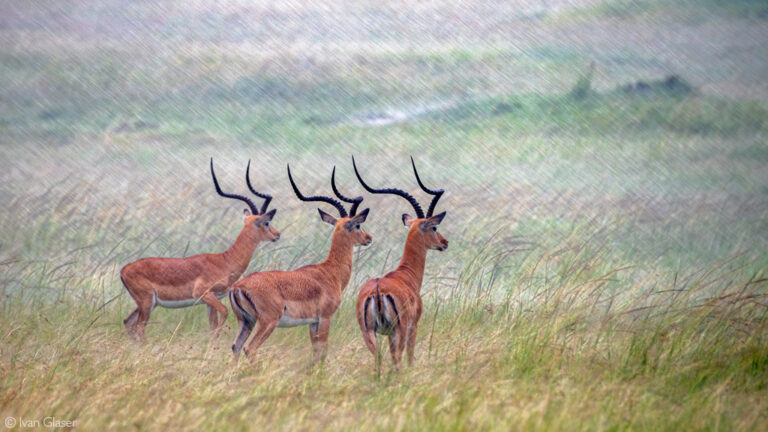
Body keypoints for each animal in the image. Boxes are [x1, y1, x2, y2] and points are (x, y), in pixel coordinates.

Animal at [120, 159, 280, 341]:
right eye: (267, 222)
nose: (277, 235)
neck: (224, 260)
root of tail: (124, 270)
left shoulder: (210, 301)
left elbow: (212, 326)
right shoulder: (204, 294)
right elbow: (224, 314)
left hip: (148, 304)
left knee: (128, 322)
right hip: (147, 303)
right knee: (139, 327)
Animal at [229, 164, 372, 363]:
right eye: (358, 225)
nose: (368, 238)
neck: (330, 272)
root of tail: (238, 287)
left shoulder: (312, 322)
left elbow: (316, 351)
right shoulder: (325, 318)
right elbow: (323, 351)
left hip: (245, 322)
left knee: (236, 346)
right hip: (267, 321)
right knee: (249, 348)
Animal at [353, 157, 448, 370]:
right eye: (435, 227)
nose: (445, 242)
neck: (406, 275)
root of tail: (377, 291)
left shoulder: (387, 334)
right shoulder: (413, 326)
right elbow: (410, 356)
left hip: (369, 333)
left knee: (379, 360)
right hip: (400, 329)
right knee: (397, 358)